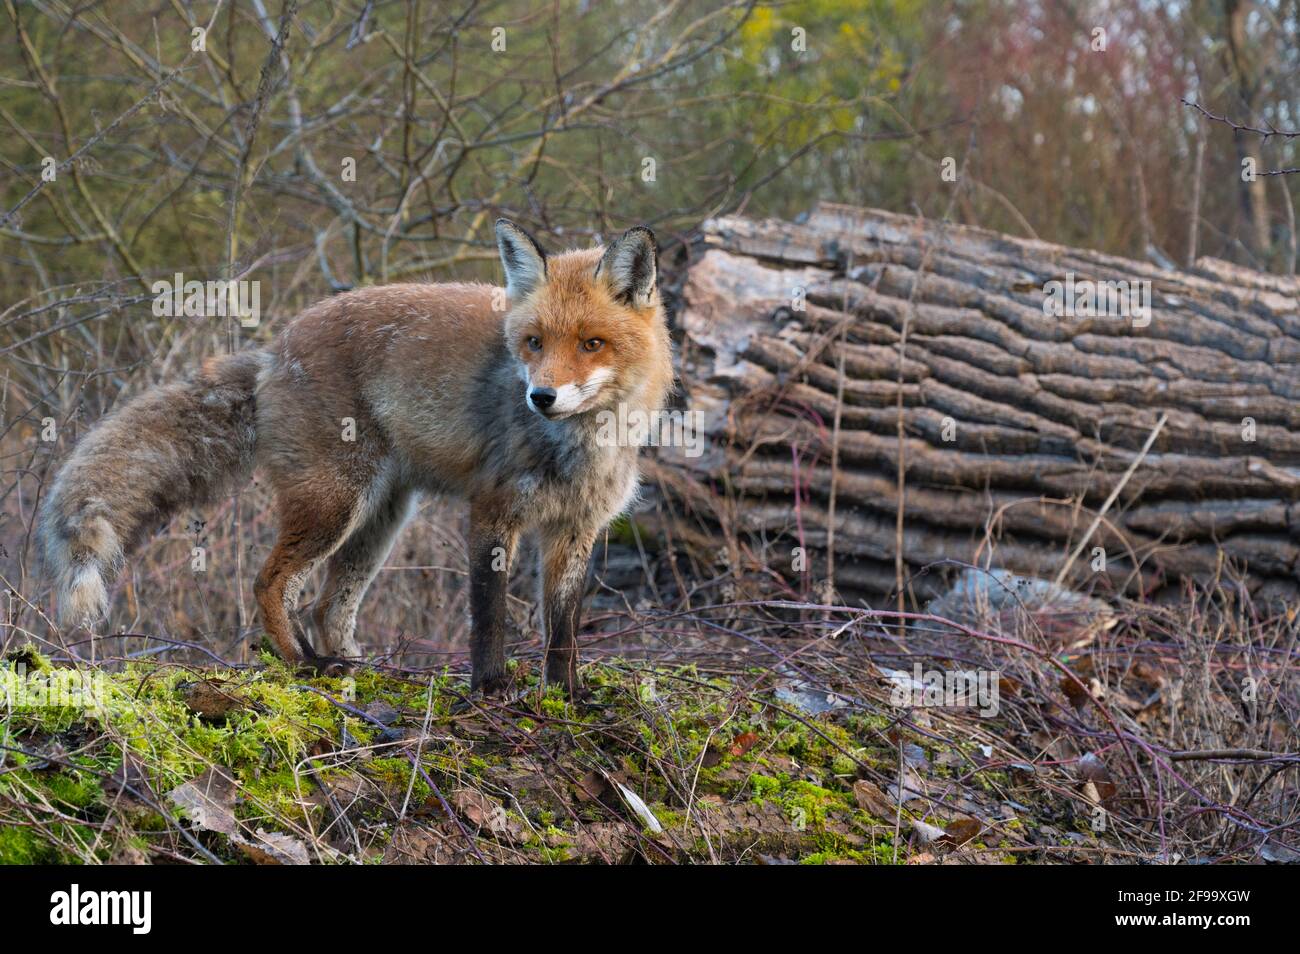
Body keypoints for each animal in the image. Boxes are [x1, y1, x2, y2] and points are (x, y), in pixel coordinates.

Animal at [38, 220, 674, 696]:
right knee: (270, 583)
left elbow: (563, 628)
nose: (540, 397)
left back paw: (358, 670)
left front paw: (568, 695)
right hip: (335, 503)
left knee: (327, 607)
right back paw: (304, 665)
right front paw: (491, 687)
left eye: (592, 343)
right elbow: (489, 613)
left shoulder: (576, 528)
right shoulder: (493, 513)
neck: (579, 448)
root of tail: (274, 351)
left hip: (381, 517)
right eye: (533, 342)